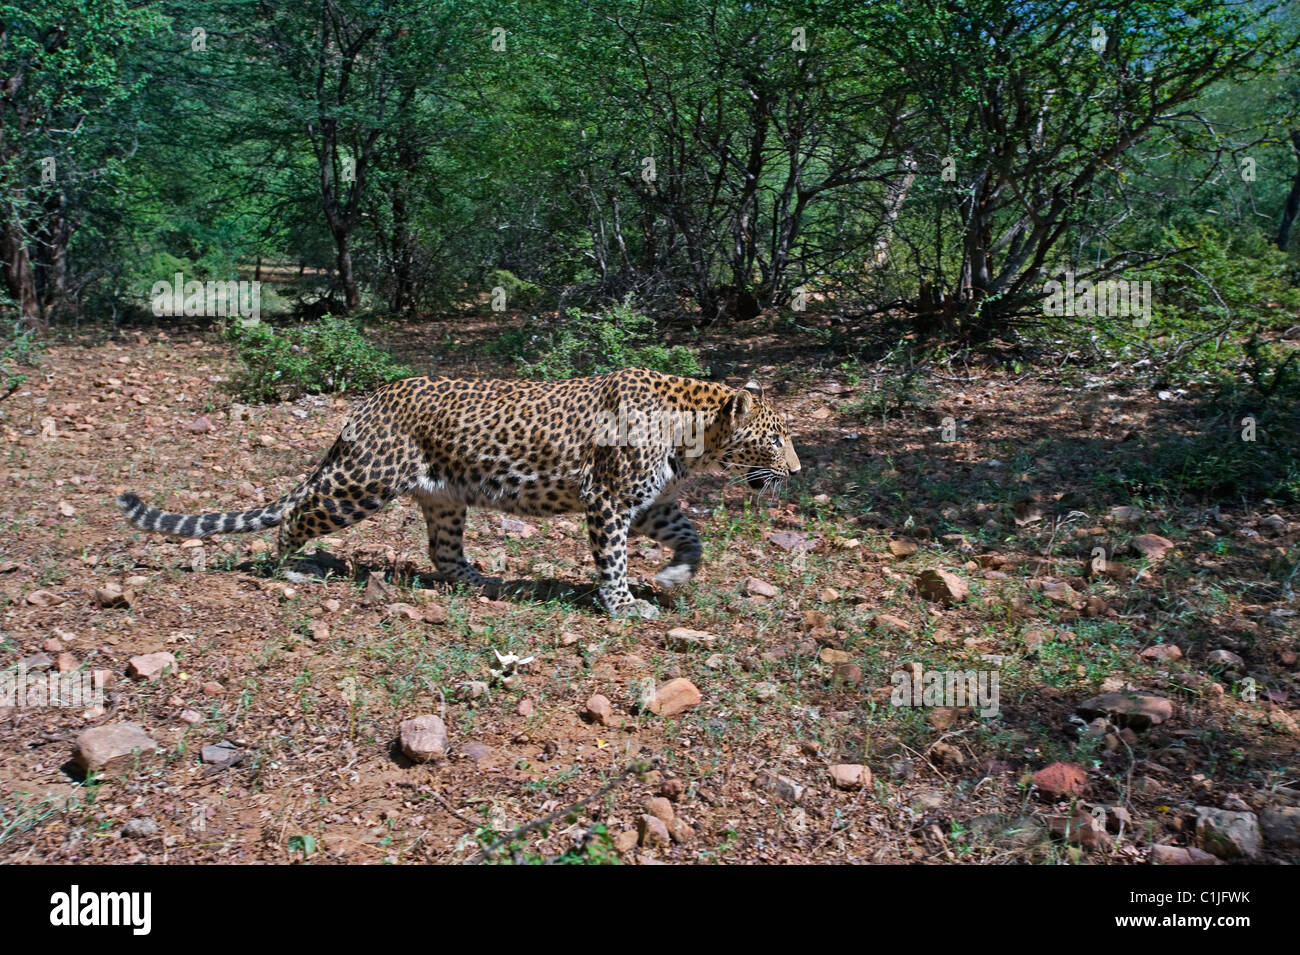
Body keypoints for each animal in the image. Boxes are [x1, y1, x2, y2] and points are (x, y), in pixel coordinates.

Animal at [117, 368, 801, 618]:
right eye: (776, 438)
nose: (795, 471)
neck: (693, 437)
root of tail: (366, 404)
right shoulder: (609, 500)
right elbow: (612, 558)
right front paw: (623, 605)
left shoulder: (650, 500)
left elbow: (689, 531)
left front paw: (679, 572)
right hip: (362, 481)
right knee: (297, 517)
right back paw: (289, 568)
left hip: (444, 498)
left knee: (442, 553)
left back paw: (481, 581)